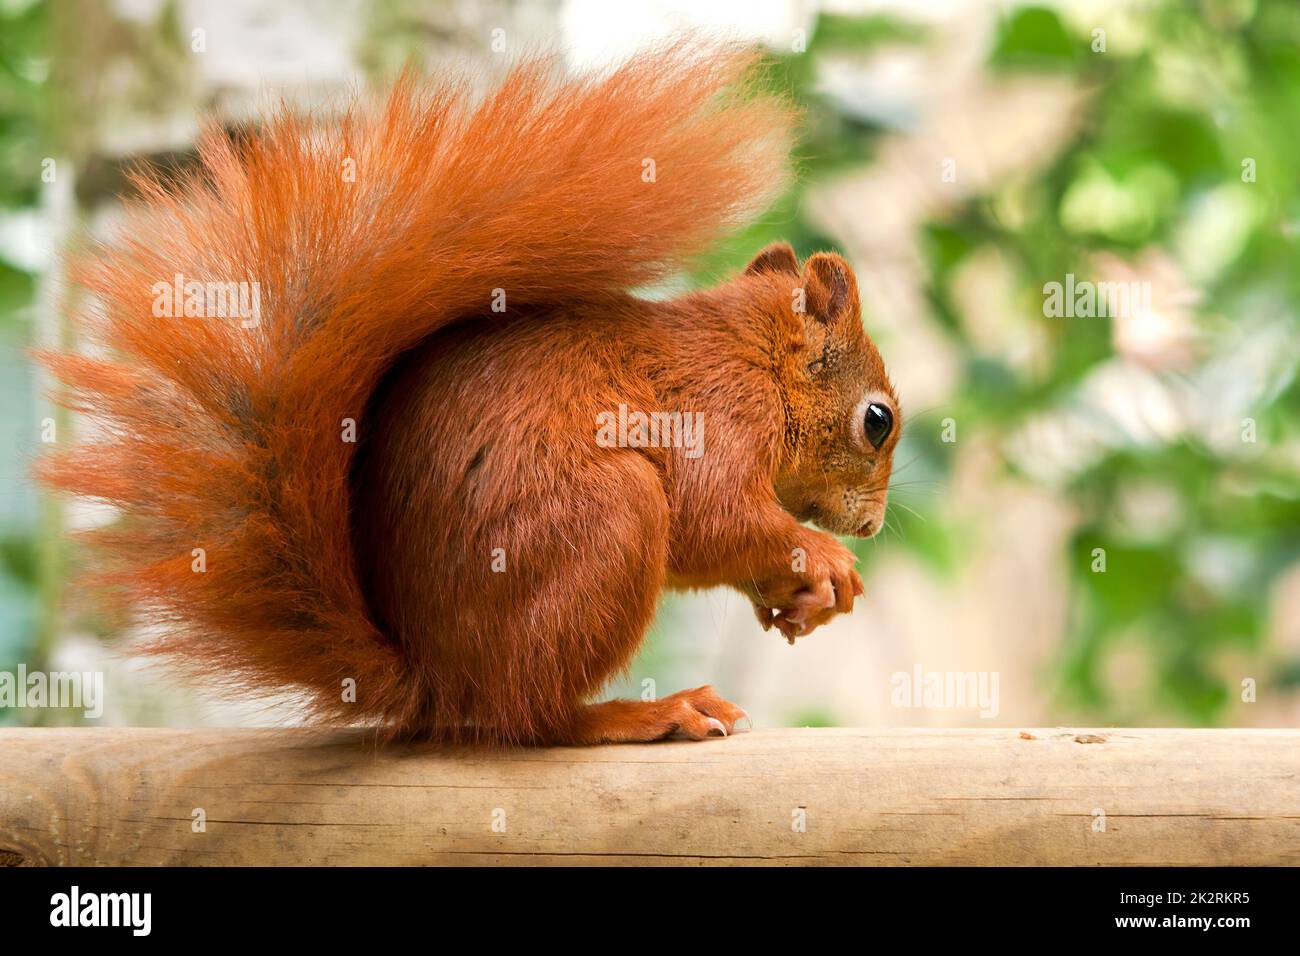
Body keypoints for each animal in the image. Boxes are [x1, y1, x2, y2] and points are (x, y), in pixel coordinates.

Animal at [40, 44, 900, 746]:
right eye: (877, 421)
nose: (871, 526)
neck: (756, 360)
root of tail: (436, 682)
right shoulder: (719, 416)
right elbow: (713, 518)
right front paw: (826, 561)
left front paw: (791, 597)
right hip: (604, 523)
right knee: (529, 717)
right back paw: (637, 714)